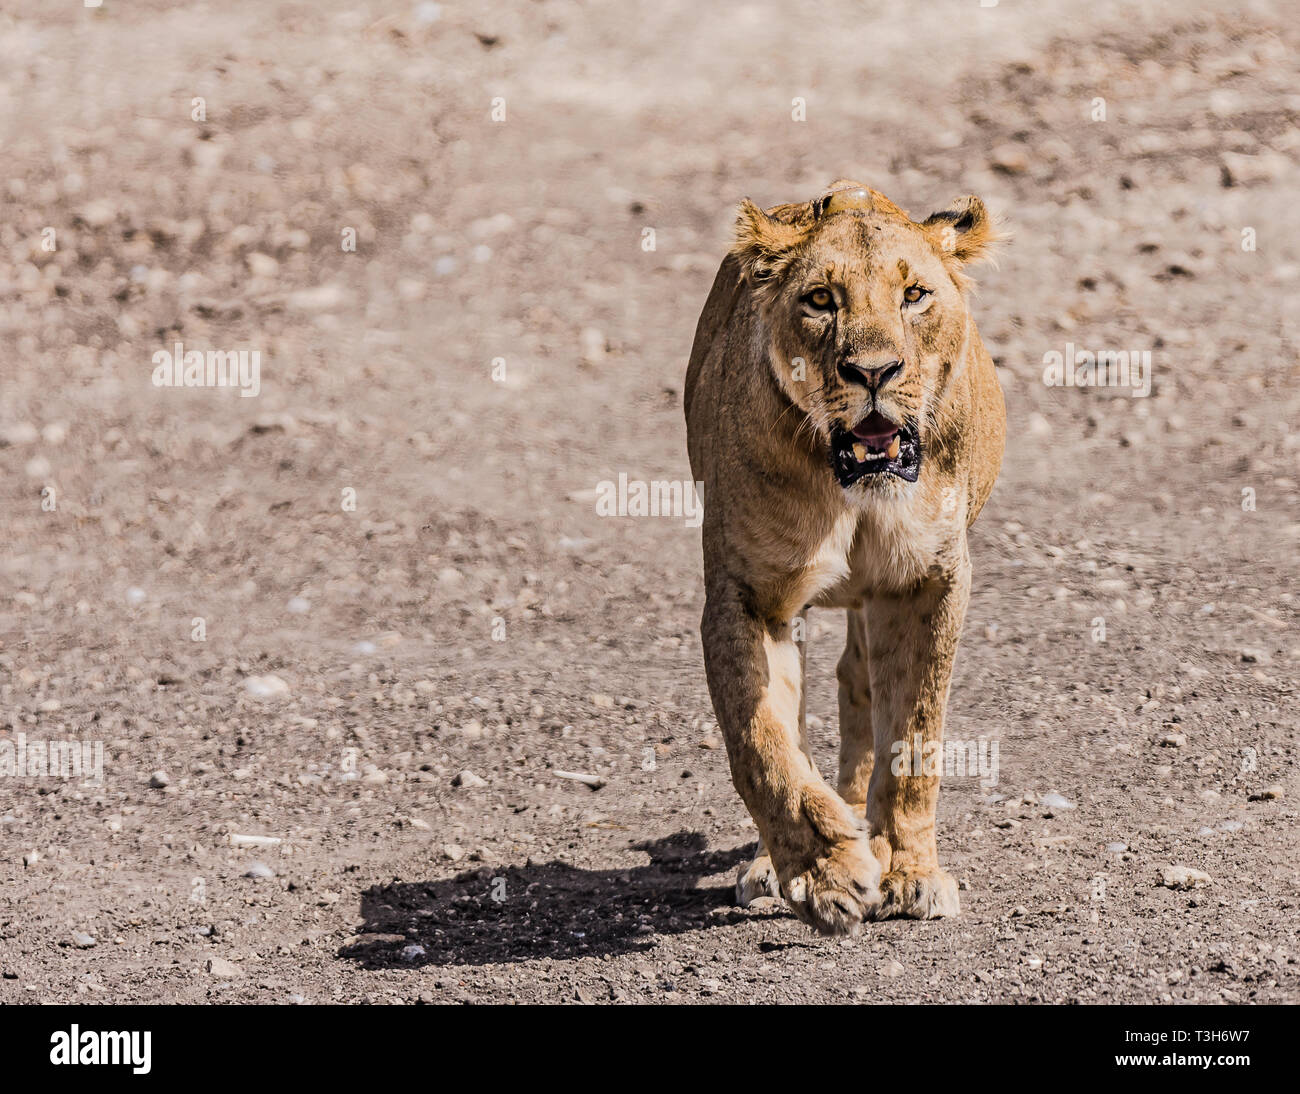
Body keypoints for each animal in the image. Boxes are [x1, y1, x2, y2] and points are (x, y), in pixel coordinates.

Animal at [684, 180, 1005, 934]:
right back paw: (780, 863)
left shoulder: (928, 580)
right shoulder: (746, 594)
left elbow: (914, 734)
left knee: (859, 683)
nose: (873, 372)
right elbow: (763, 743)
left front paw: (910, 874)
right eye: (821, 300)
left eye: (914, 295)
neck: (853, 487)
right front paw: (824, 874)